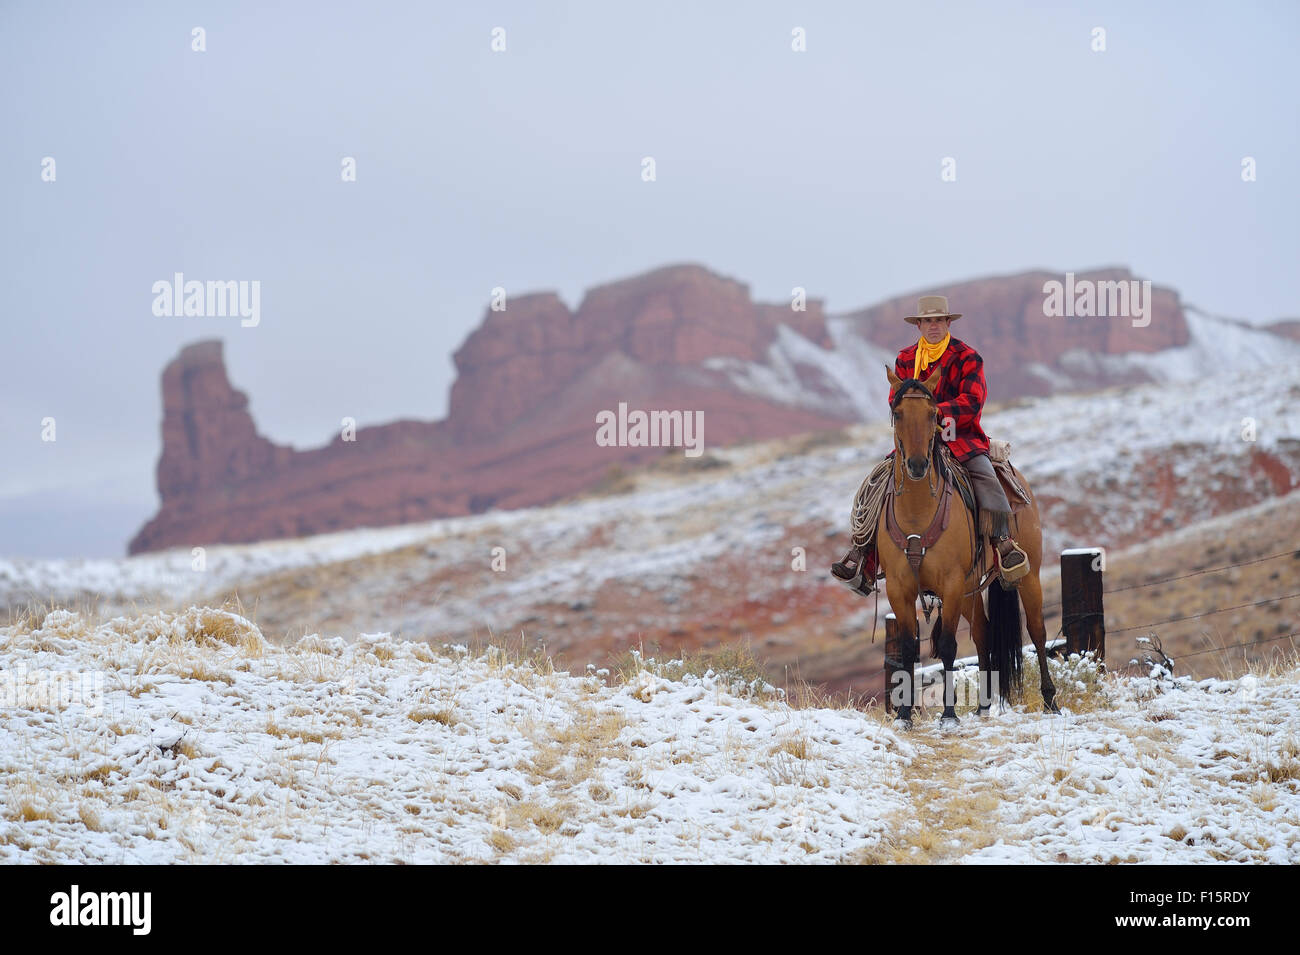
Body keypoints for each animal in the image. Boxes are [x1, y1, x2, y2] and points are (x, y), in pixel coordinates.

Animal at [880, 364, 1058, 728]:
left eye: (934, 414)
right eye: (897, 412)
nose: (917, 465)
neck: (917, 513)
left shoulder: (949, 583)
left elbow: (948, 646)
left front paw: (949, 715)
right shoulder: (899, 587)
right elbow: (907, 649)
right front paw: (904, 715)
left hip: (1026, 575)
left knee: (1037, 631)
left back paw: (1050, 700)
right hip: (969, 591)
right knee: (983, 633)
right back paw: (983, 706)